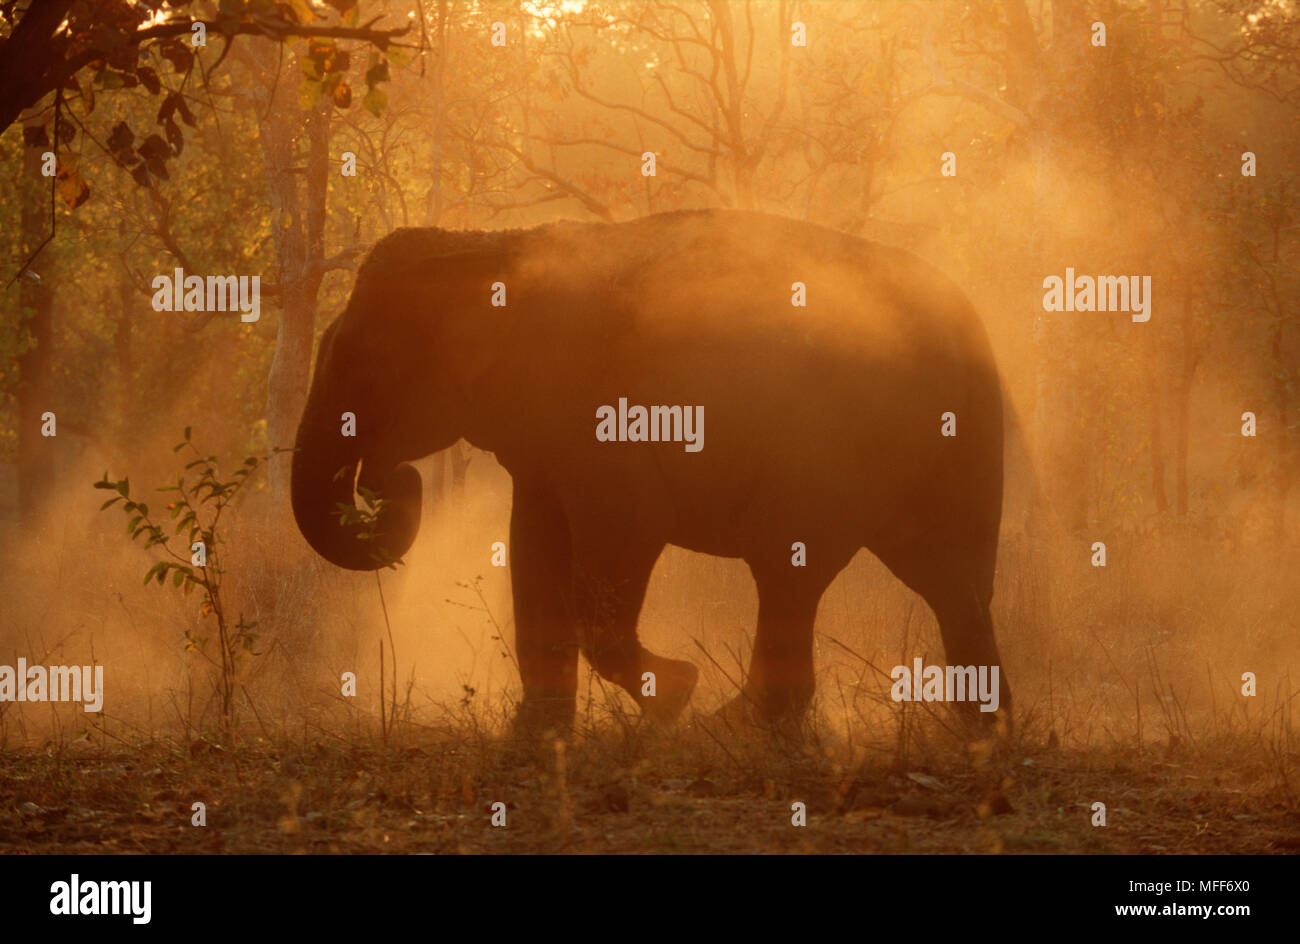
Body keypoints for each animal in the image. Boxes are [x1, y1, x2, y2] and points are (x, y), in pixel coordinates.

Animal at [290, 208, 1012, 736]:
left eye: (360, 366)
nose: (393, 480)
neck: (494, 247)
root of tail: (971, 326)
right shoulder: (545, 444)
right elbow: (532, 551)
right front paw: (536, 736)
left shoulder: (609, 427)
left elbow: (619, 543)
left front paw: (674, 693)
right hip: (954, 449)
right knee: (951, 580)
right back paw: (986, 729)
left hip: (840, 453)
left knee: (793, 571)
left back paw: (731, 725)